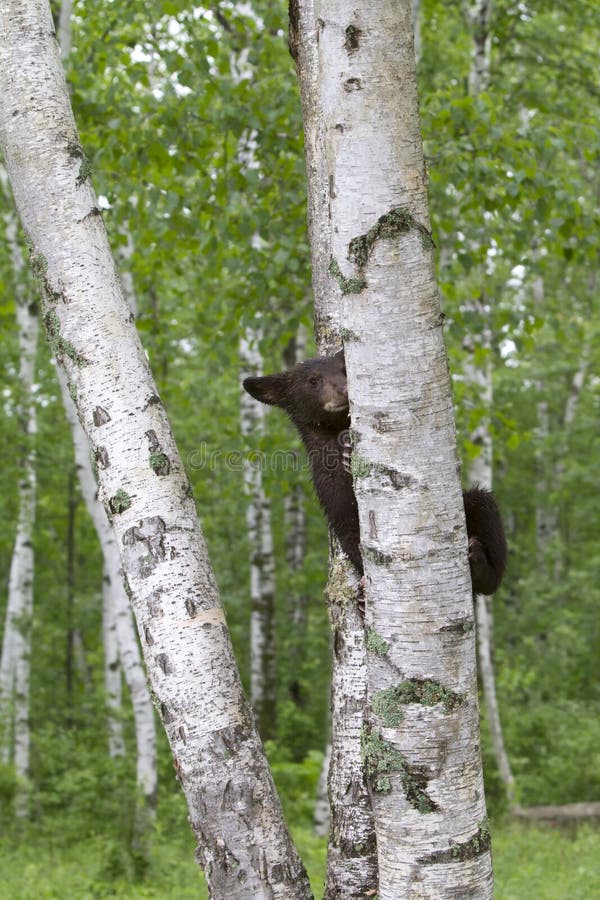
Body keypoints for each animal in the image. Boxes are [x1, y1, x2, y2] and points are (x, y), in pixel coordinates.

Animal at [243, 349, 506, 595]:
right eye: (313, 380)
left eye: (344, 369)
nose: (344, 389)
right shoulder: (333, 495)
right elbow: (351, 536)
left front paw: (349, 453)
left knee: (485, 513)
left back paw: (479, 563)